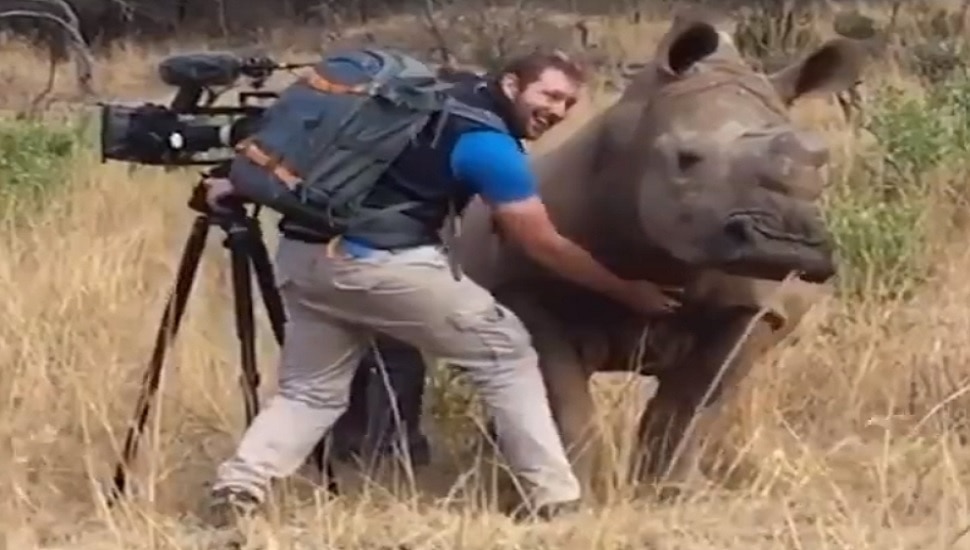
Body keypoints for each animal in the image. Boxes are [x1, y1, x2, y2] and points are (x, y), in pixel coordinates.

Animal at [336, 10, 865, 495]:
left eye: (821, 167)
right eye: (687, 160)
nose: (786, 244)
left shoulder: (754, 307)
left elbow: (691, 404)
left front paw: (672, 492)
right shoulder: (527, 290)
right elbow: (563, 398)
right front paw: (585, 491)